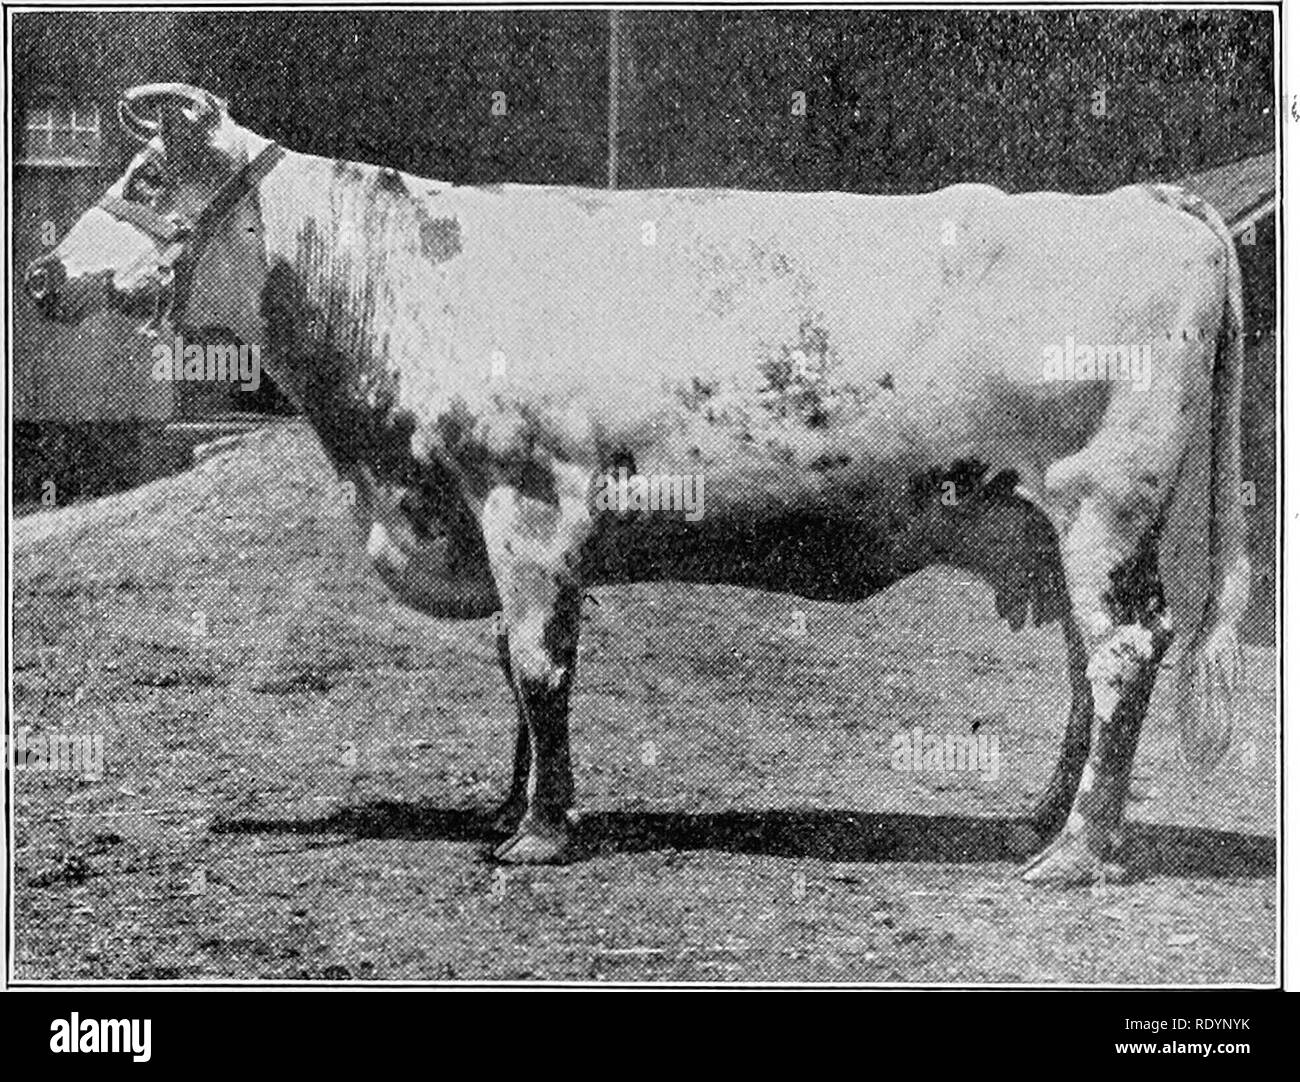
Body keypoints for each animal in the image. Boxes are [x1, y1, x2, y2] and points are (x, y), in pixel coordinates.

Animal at [25, 84, 1250, 884]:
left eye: (145, 176)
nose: (39, 273)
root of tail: (1151, 197)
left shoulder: (526, 504)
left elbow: (538, 664)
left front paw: (538, 832)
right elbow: (512, 667)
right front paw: (510, 802)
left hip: (1105, 505)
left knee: (1122, 653)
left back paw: (1078, 851)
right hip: (1055, 524)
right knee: (1087, 663)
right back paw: (1044, 819)